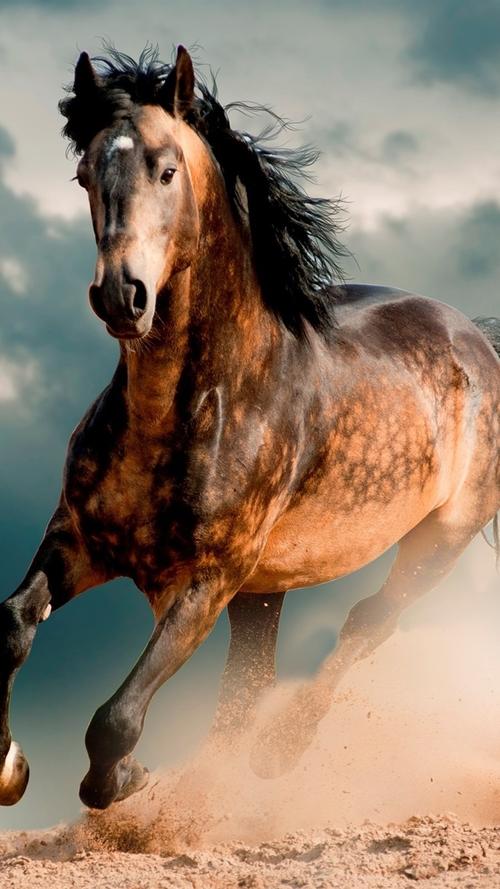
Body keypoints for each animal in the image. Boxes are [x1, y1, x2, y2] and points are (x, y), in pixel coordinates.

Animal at [0, 44, 498, 810]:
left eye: (166, 169)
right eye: (84, 173)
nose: (121, 296)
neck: (185, 412)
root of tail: (476, 338)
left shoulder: (208, 579)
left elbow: (115, 719)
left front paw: (128, 779)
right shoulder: (78, 539)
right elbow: (11, 628)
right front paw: (10, 767)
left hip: (438, 540)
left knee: (367, 623)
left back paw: (278, 751)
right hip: (266, 589)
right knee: (253, 679)